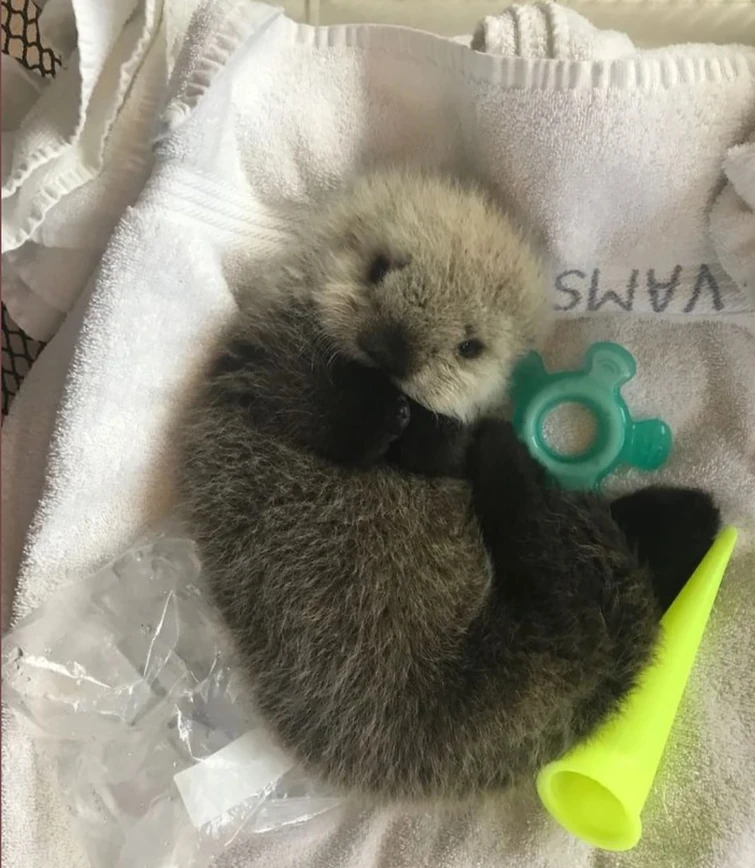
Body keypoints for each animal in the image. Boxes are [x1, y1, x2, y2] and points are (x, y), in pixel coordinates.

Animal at [178, 169, 719, 800]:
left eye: (470, 346)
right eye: (379, 267)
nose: (392, 349)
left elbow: (439, 453)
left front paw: (422, 423)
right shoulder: (265, 361)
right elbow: (321, 409)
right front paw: (386, 413)